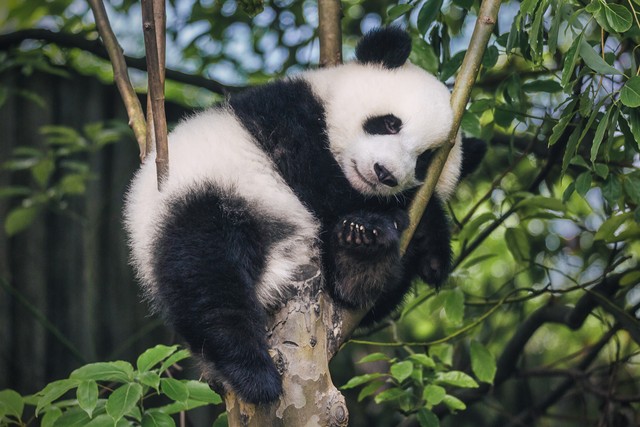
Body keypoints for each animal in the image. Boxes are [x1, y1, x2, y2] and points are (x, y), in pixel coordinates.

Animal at [124, 27, 485, 405]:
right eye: (389, 124)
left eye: (425, 159)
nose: (384, 173)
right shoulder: (287, 117)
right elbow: (317, 179)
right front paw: (407, 217)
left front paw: (425, 246)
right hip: (207, 197)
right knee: (208, 282)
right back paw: (253, 373)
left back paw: (359, 254)